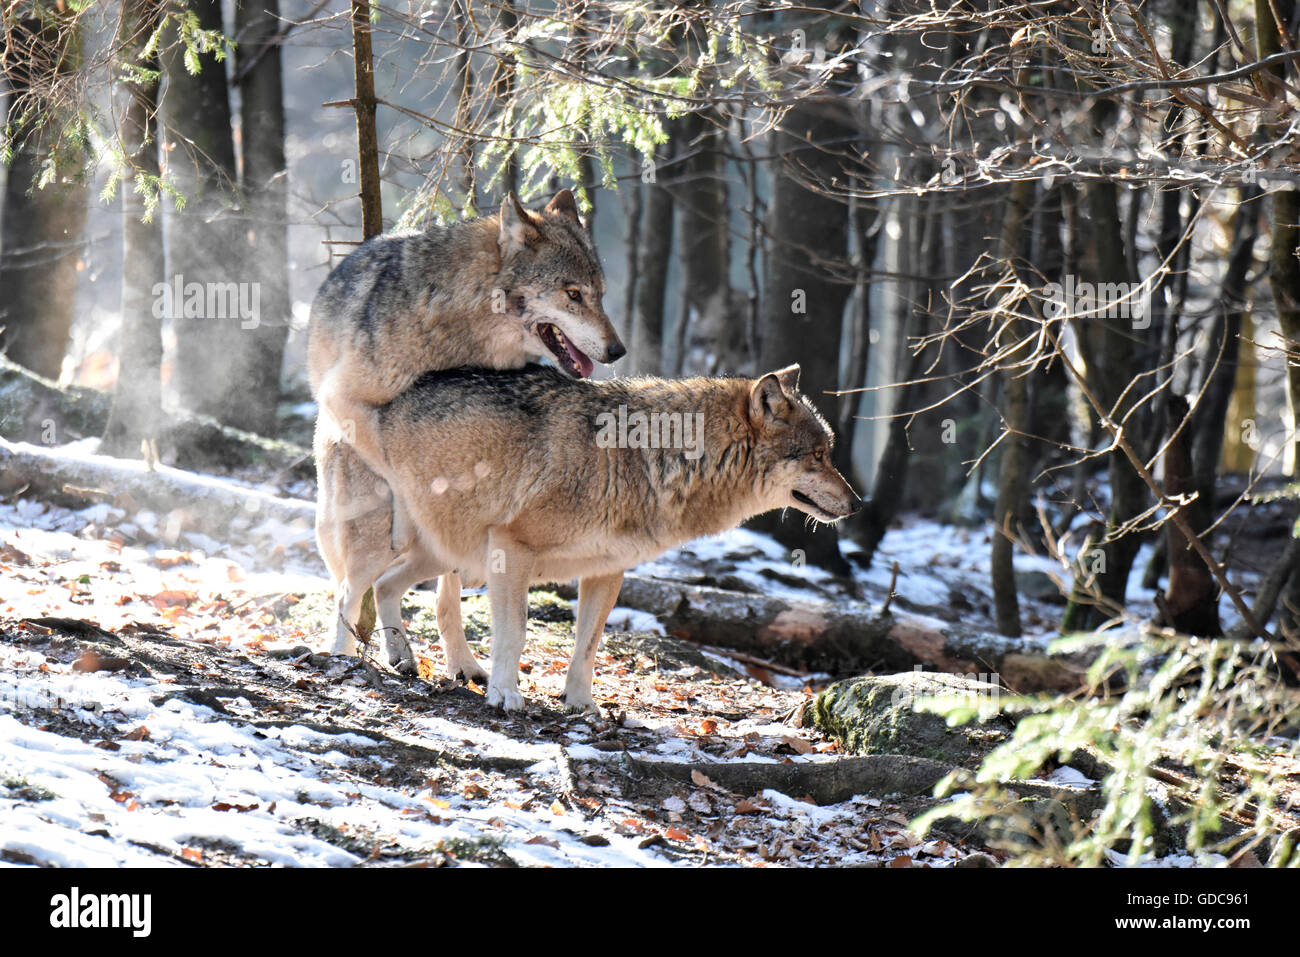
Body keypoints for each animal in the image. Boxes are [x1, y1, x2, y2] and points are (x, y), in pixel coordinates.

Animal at [309, 190, 625, 672]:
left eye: (602, 296)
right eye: (573, 294)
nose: (618, 350)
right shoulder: (345, 397)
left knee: (437, 593)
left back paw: (452, 663)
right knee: (350, 587)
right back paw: (344, 655)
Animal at [327, 362, 859, 712]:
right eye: (817, 456)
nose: (856, 504)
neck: (647, 460)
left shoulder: (606, 571)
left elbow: (587, 645)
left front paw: (581, 704)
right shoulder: (512, 551)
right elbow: (514, 633)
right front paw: (506, 693)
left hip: (439, 551)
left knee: (387, 588)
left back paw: (403, 660)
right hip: (389, 544)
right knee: (349, 593)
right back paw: (342, 658)